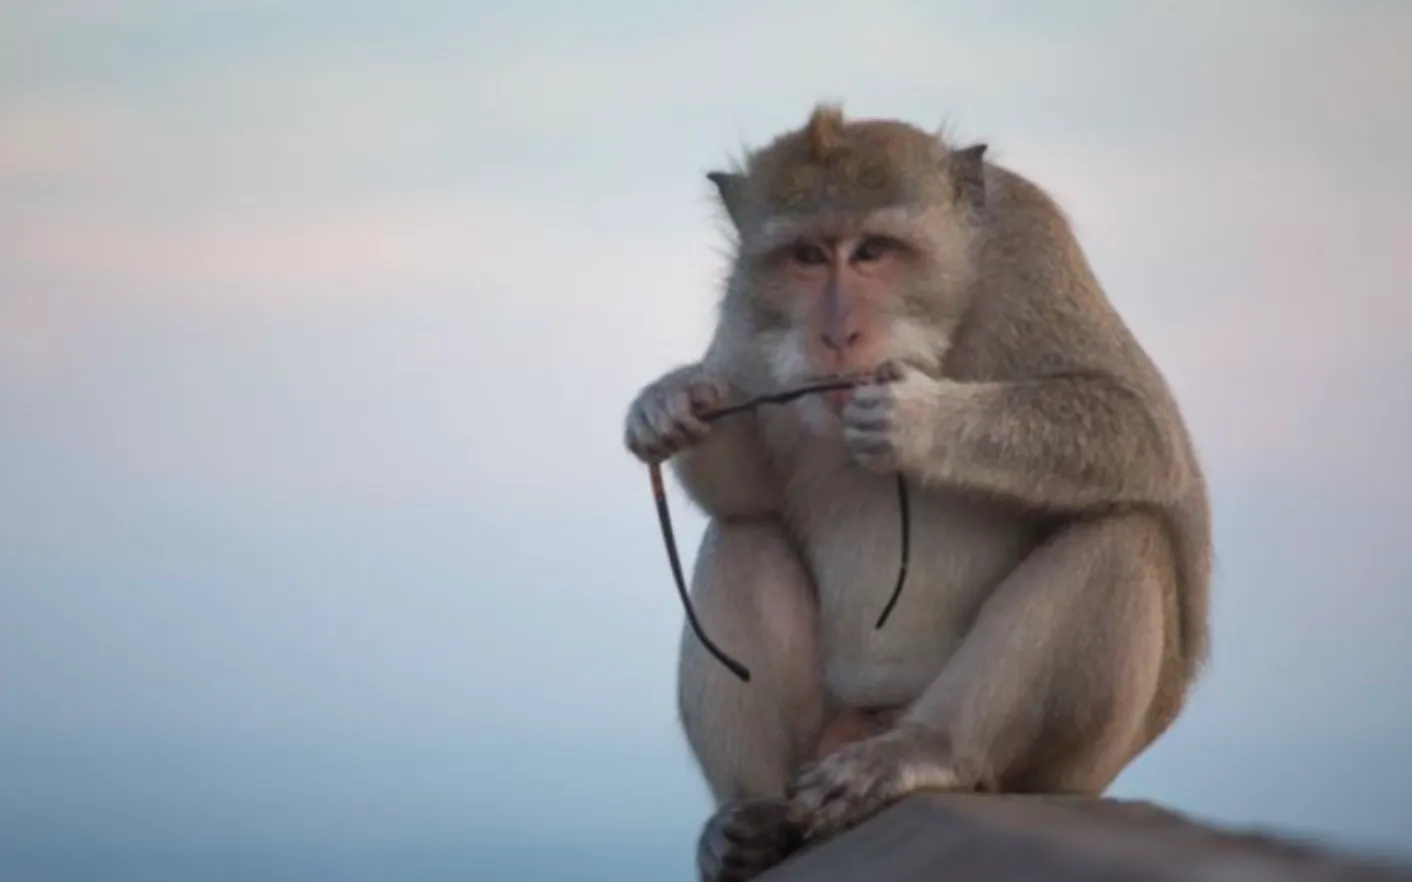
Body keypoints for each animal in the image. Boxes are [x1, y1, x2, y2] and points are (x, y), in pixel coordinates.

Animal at [622, 104, 1211, 882]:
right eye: (807, 256)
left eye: (873, 251)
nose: (838, 333)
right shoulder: (748, 313)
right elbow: (751, 491)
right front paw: (671, 401)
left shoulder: (1034, 252)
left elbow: (1140, 429)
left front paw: (918, 420)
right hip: (825, 730)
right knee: (741, 534)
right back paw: (749, 822)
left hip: (1075, 762)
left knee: (1121, 534)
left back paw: (927, 751)